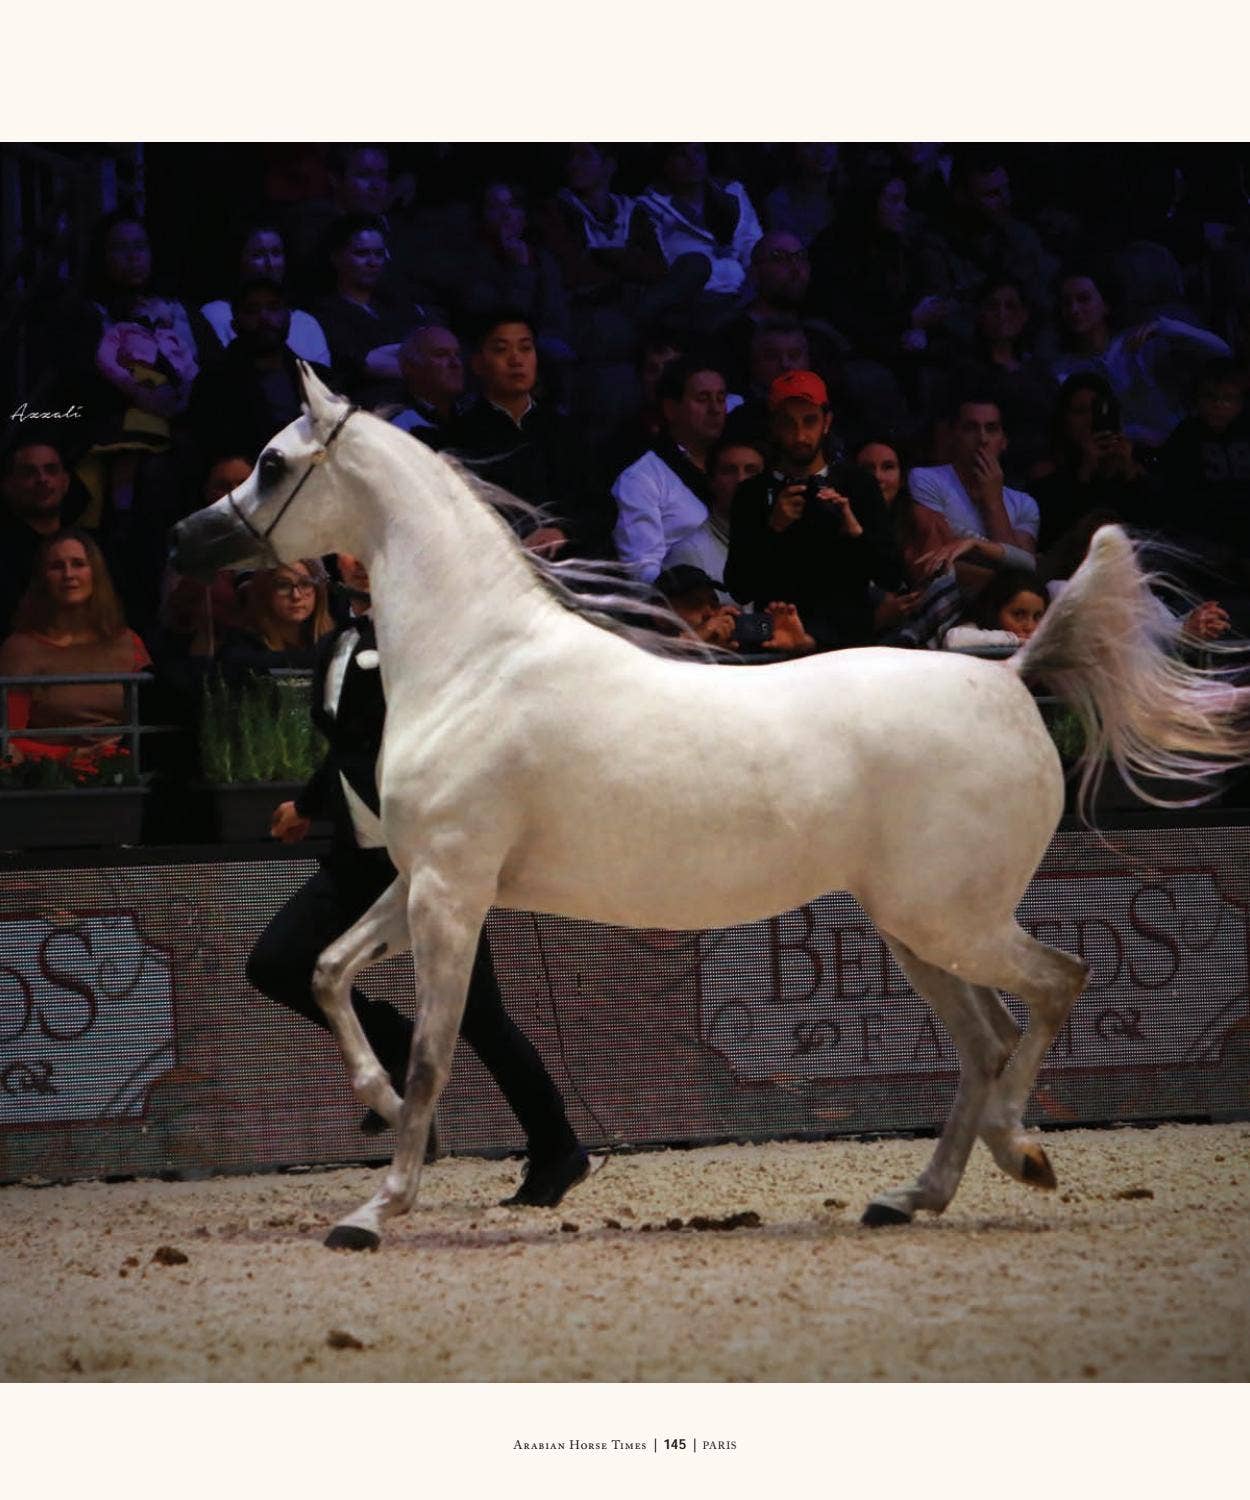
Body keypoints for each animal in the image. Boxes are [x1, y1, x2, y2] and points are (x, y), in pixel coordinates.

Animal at [171, 365, 1250, 1251]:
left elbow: (435, 1054)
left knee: (1057, 985)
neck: (476, 661)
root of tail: (1010, 674)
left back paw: (1018, 1153)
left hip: (952, 920)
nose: (185, 537)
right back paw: (915, 1195)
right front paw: (374, 1102)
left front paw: (372, 1208)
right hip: (917, 928)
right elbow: (327, 972)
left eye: (271, 463)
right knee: (984, 1041)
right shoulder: (427, 885)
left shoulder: (450, 894)